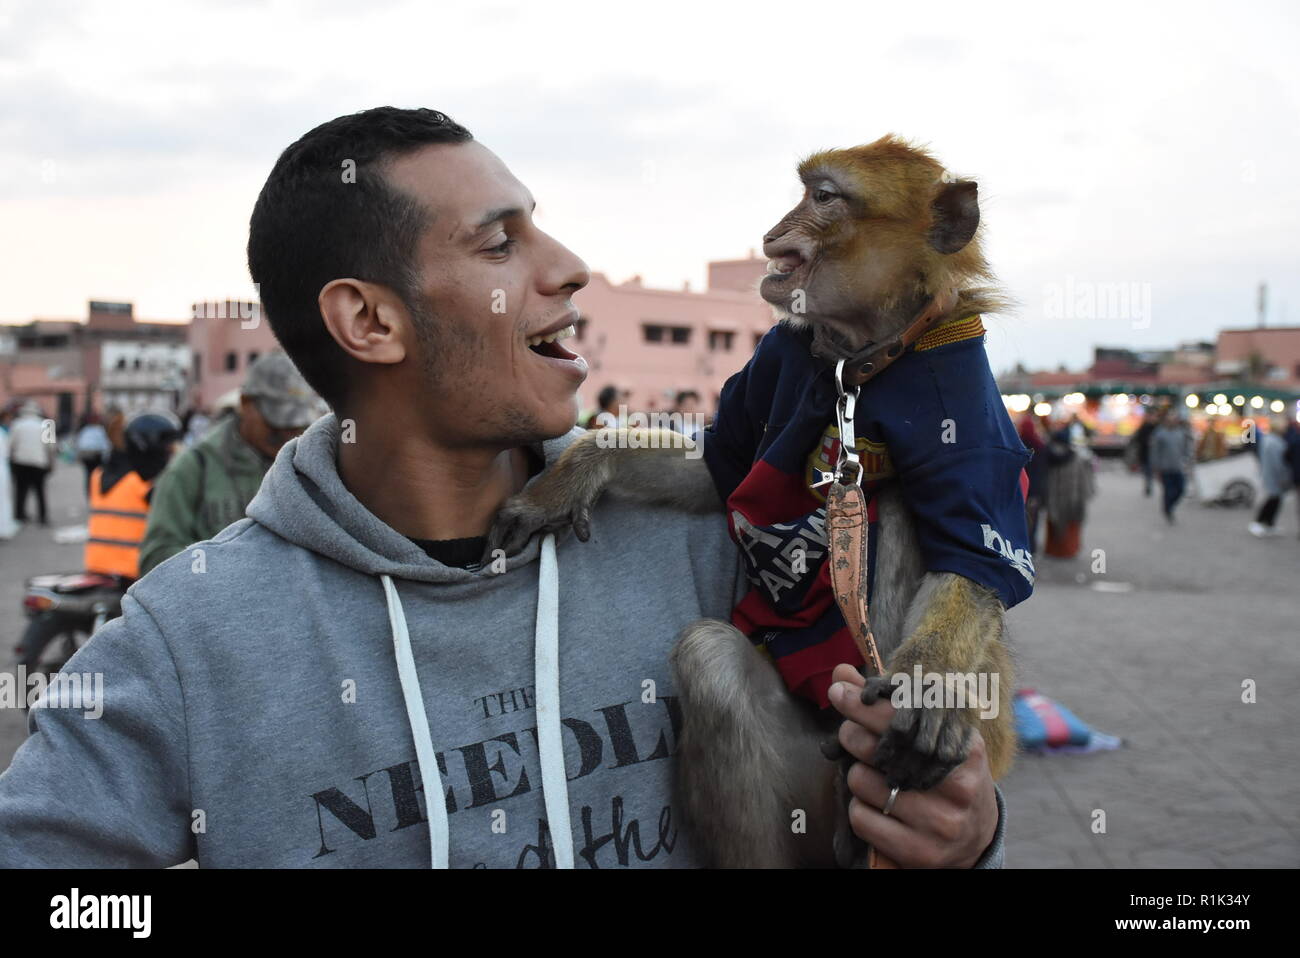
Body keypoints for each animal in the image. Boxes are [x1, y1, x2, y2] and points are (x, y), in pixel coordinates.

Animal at [487, 135, 1033, 868]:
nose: (776, 229)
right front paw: (569, 478)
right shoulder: (779, 352)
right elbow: (719, 471)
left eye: (823, 197)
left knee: (901, 508)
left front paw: (933, 683)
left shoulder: (963, 400)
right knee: (712, 662)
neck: (859, 362)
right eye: (801, 192)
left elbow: (977, 558)